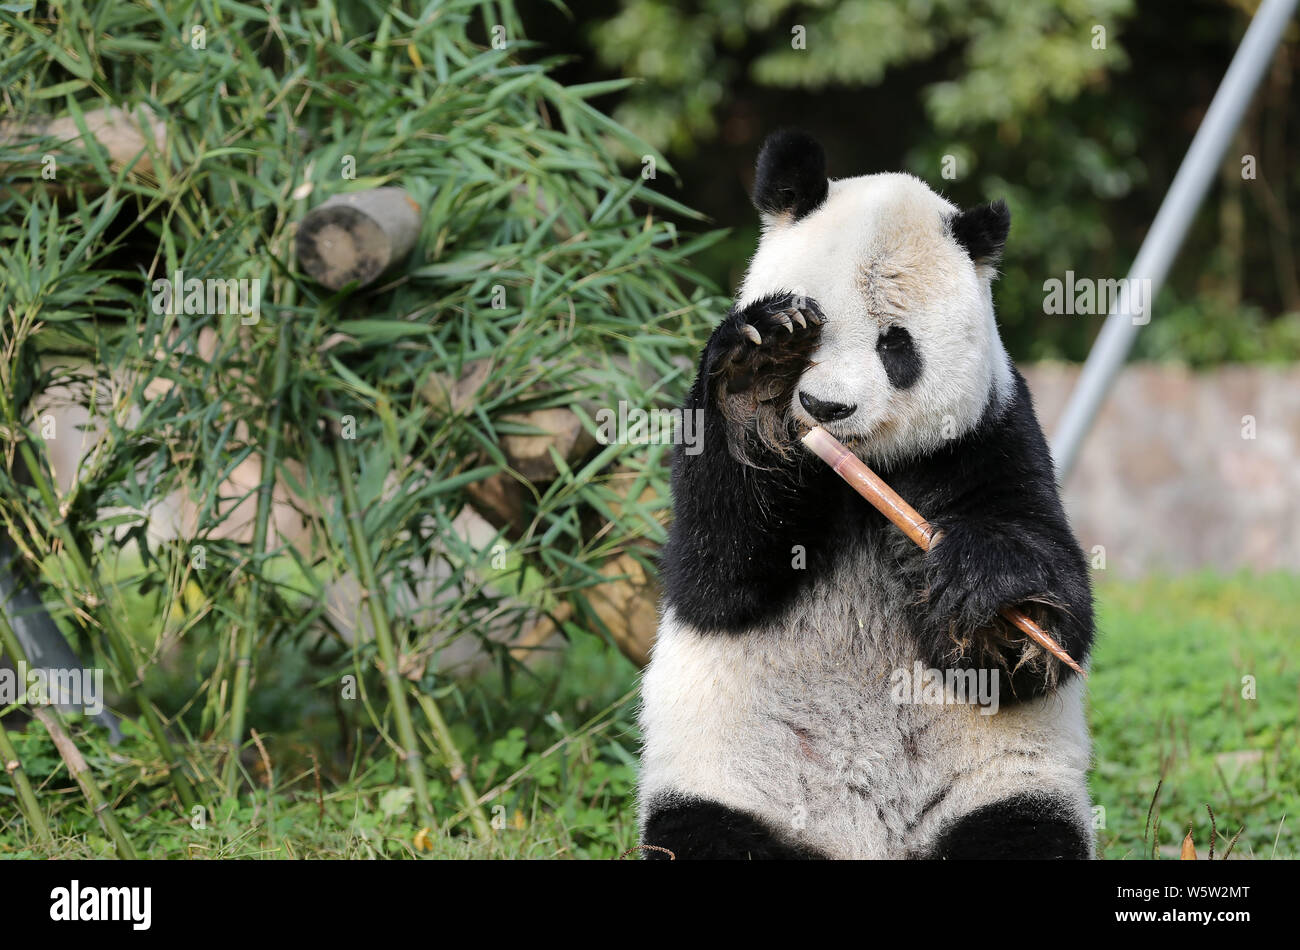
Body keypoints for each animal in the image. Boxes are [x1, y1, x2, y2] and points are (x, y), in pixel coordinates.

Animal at [637, 130, 1095, 860]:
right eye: (814, 331)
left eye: (894, 346)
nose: (829, 408)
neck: (857, 471)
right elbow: (714, 573)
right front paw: (755, 373)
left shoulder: (991, 432)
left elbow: (1047, 610)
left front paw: (988, 601)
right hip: (729, 782)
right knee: (703, 835)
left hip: (999, 786)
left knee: (1022, 833)